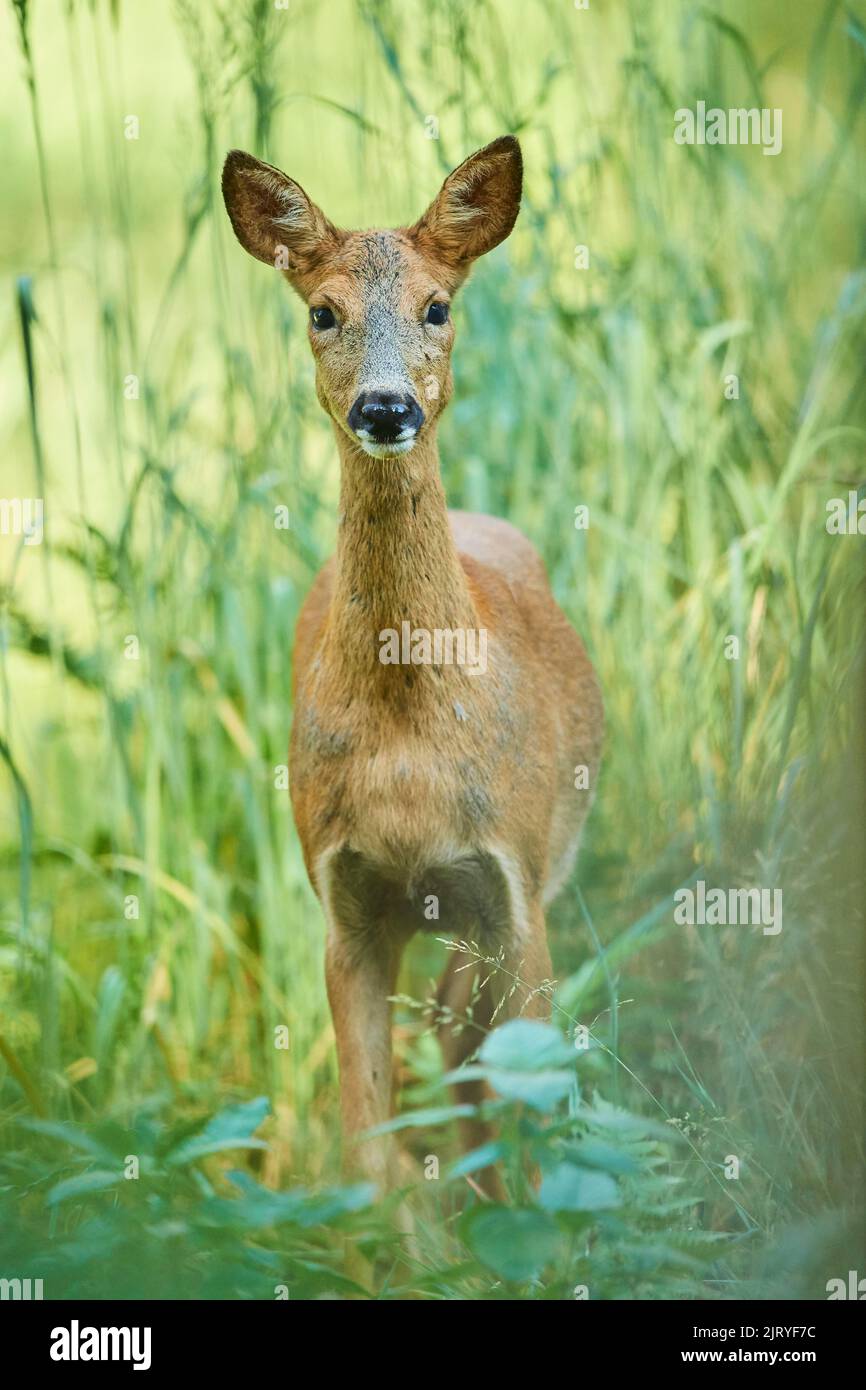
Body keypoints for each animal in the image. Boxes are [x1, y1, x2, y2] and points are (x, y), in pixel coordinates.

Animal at [222, 136, 603, 1195]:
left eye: (438, 306)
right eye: (322, 311)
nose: (385, 407)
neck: (407, 755)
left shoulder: (516, 887)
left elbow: (532, 1108)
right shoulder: (343, 909)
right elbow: (367, 1153)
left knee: (465, 1052)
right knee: (445, 1050)